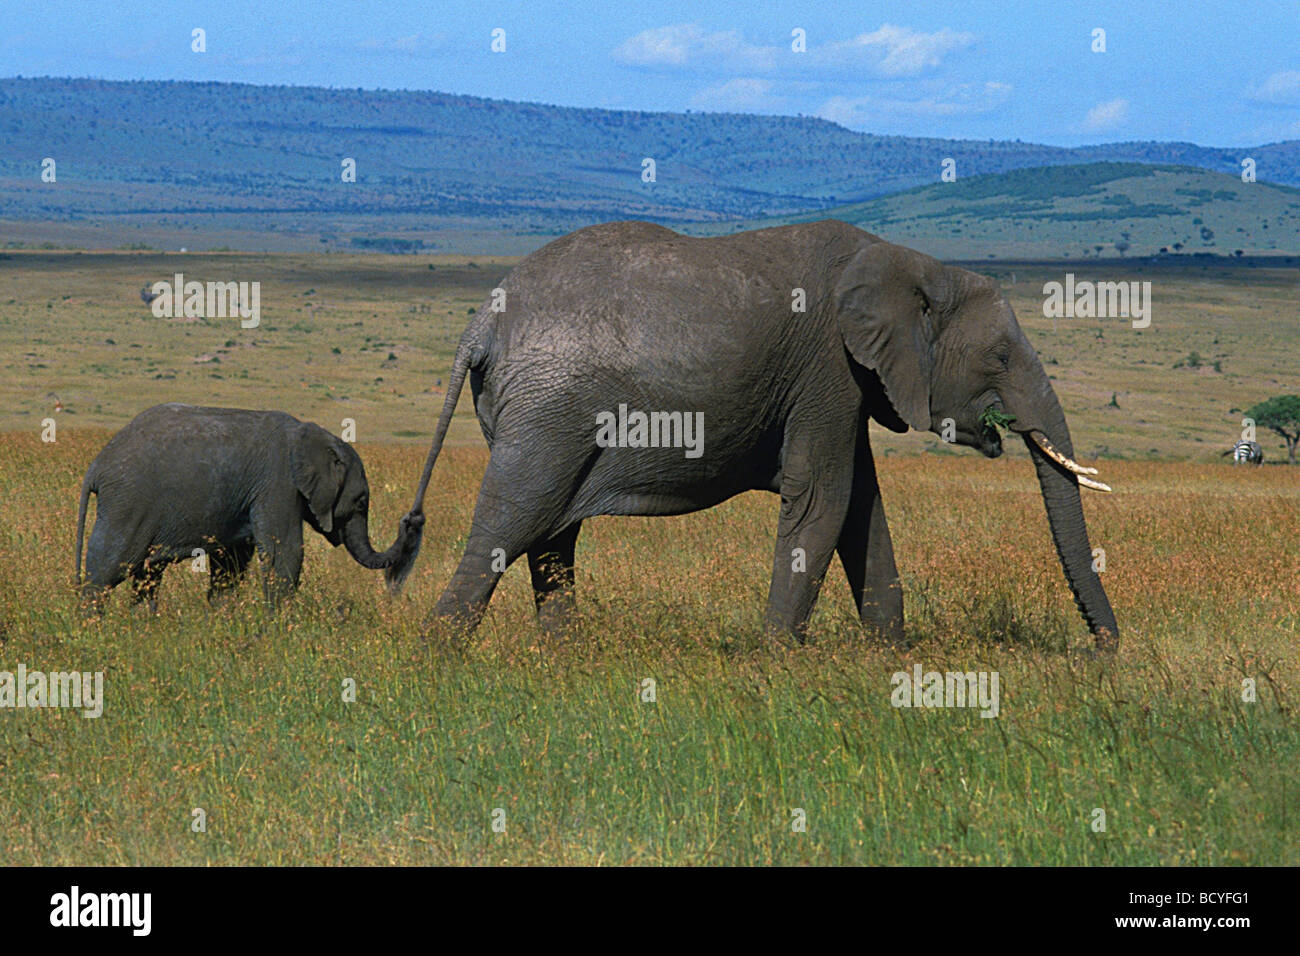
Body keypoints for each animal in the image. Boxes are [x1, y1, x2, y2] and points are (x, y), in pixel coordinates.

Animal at [76, 403, 421, 611]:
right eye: (360, 502)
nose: (411, 520)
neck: (313, 436)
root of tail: (96, 466)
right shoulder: (278, 483)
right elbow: (285, 552)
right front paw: (279, 627)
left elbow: (232, 561)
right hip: (127, 504)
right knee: (110, 566)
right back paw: (90, 627)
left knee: (147, 573)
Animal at [388, 220, 1119, 651]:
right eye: (1000, 357)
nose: (1106, 653)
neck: (914, 263)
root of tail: (481, 321)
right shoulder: (829, 366)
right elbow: (823, 498)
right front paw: (777, 663)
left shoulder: (845, 385)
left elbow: (862, 508)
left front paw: (891, 661)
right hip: (550, 409)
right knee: (513, 520)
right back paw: (435, 656)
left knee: (551, 532)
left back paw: (559, 659)